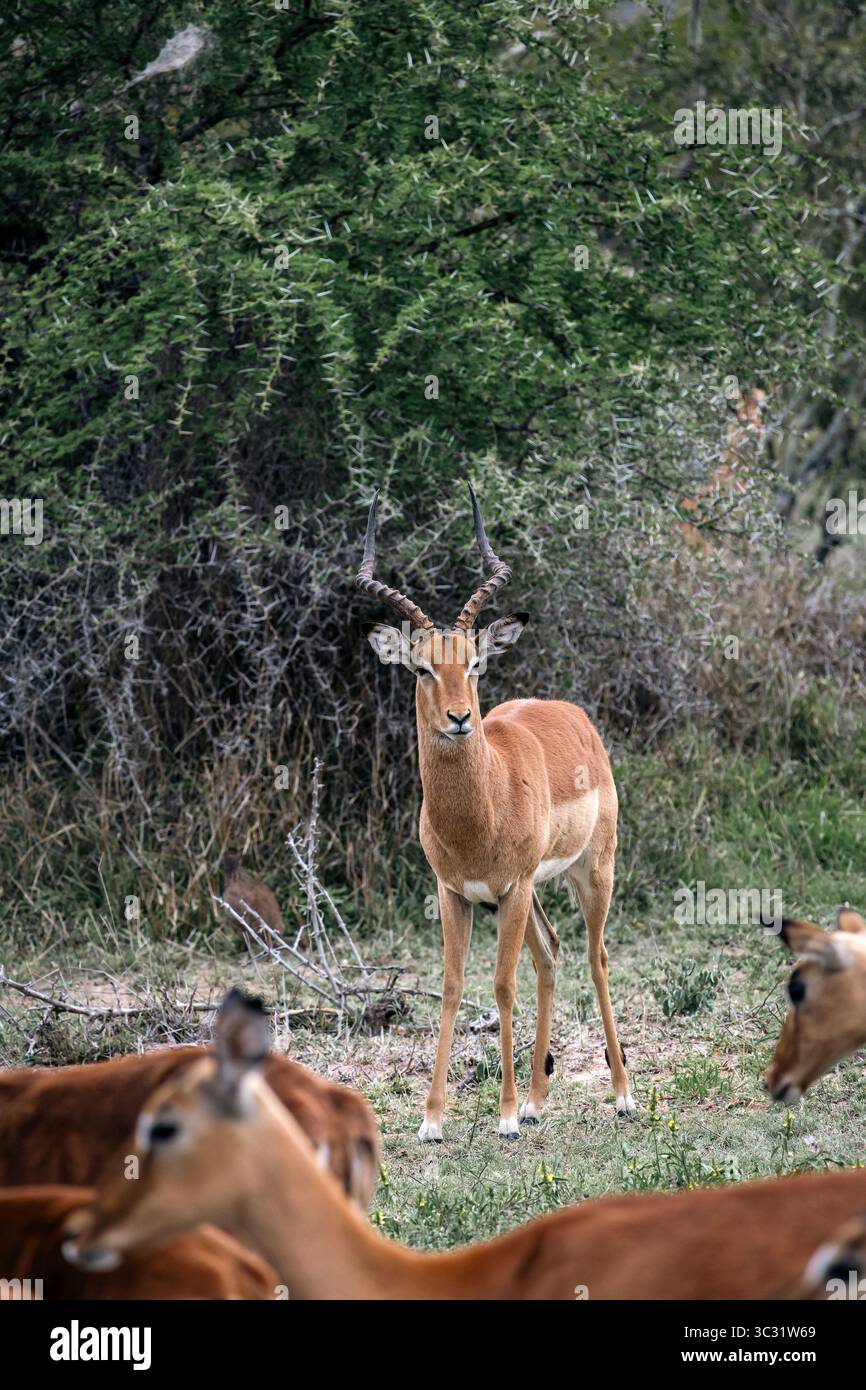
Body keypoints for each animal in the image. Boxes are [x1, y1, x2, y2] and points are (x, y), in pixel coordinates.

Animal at [357, 486, 632, 1138]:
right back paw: (537, 1101)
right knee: (551, 954)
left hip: (590, 873)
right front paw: (433, 1119)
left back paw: (620, 1094)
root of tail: (573, 714)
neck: (481, 809)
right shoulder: (454, 892)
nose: (459, 717)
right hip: (528, 896)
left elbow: (502, 986)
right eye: (422, 666)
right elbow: (454, 986)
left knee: (596, 956)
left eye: (474, 664)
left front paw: (502, 1116)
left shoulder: (510, 888)